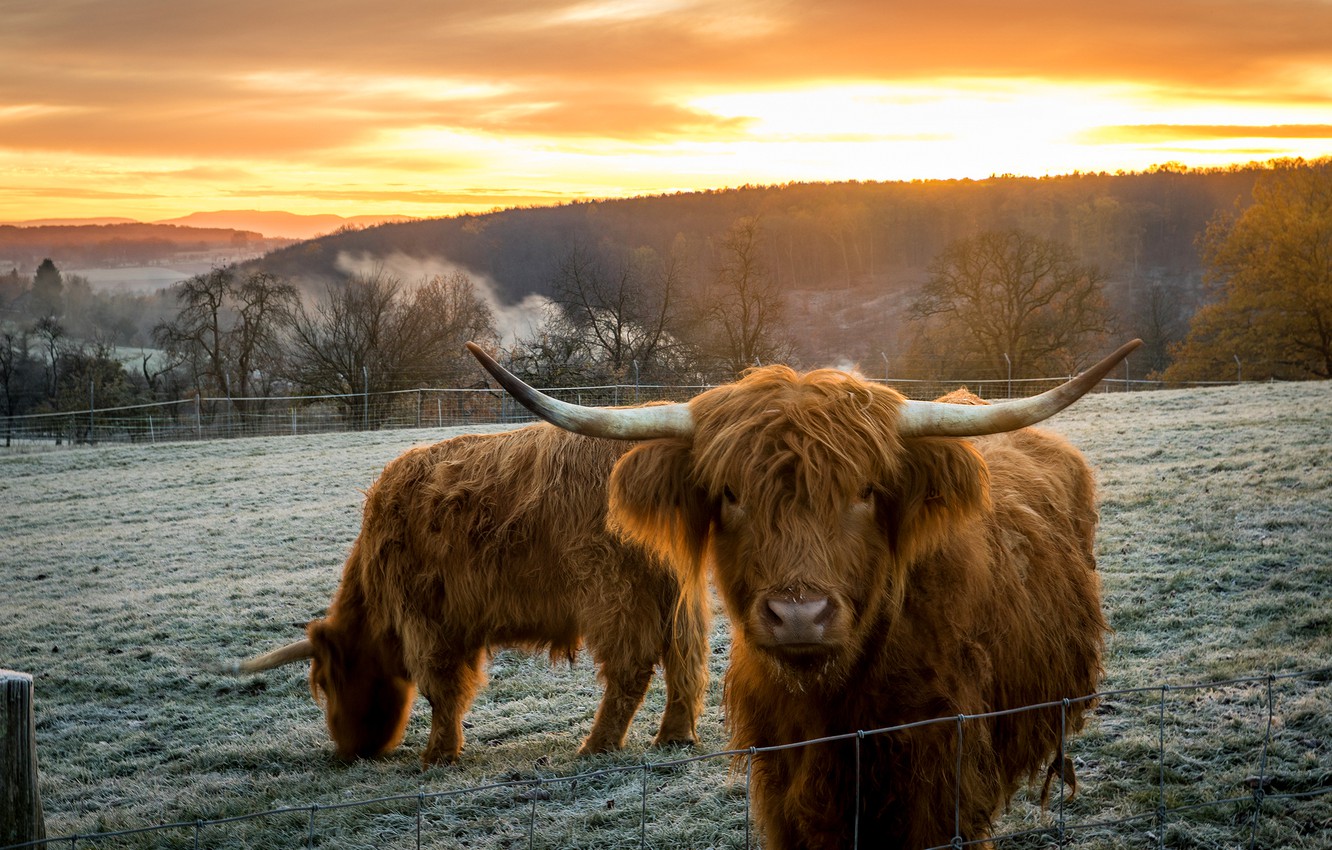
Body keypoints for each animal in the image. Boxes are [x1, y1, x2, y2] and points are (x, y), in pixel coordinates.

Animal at [224, 423, 709, 767]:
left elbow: (441, 688)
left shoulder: (426, 619)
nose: (346, 751)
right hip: (676, 595)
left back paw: (597, 746)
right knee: (685, 660)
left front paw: (438, 755)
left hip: (614, 593)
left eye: (326, 682)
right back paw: (674, 737)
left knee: (631, 666)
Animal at [465, 340, 1140, 849]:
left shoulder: (942, 788)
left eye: (866, 491)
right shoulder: (785, 791)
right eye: (730, 494)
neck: (835, 711)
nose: (798, 615)